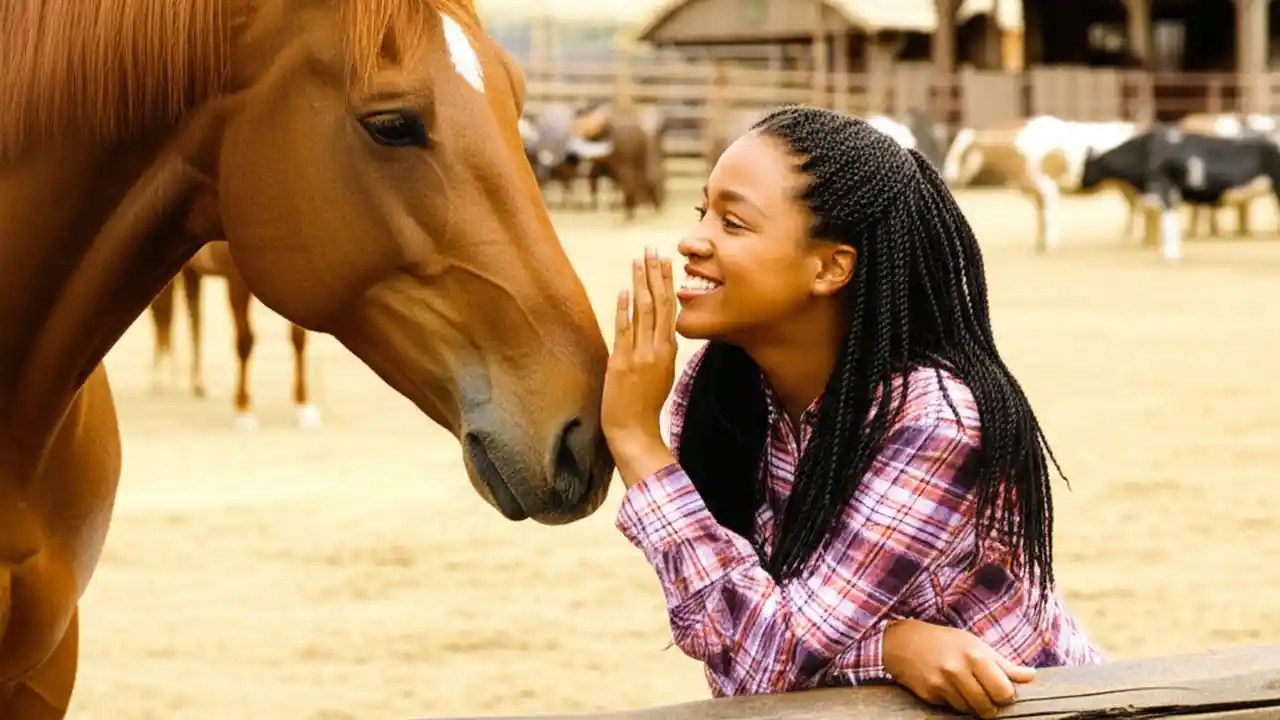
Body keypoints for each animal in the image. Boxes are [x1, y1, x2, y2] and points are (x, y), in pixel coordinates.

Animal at [942, 116, 1144, 252]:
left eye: (960, 153)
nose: (948, 175)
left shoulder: (1047, 187)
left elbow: (1048, 216)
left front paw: (1051, 245)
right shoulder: (1036, 192)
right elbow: (1040, 218)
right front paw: (1040, 244)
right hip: (1125, 187)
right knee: (1132, 205)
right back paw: (1129, 234)